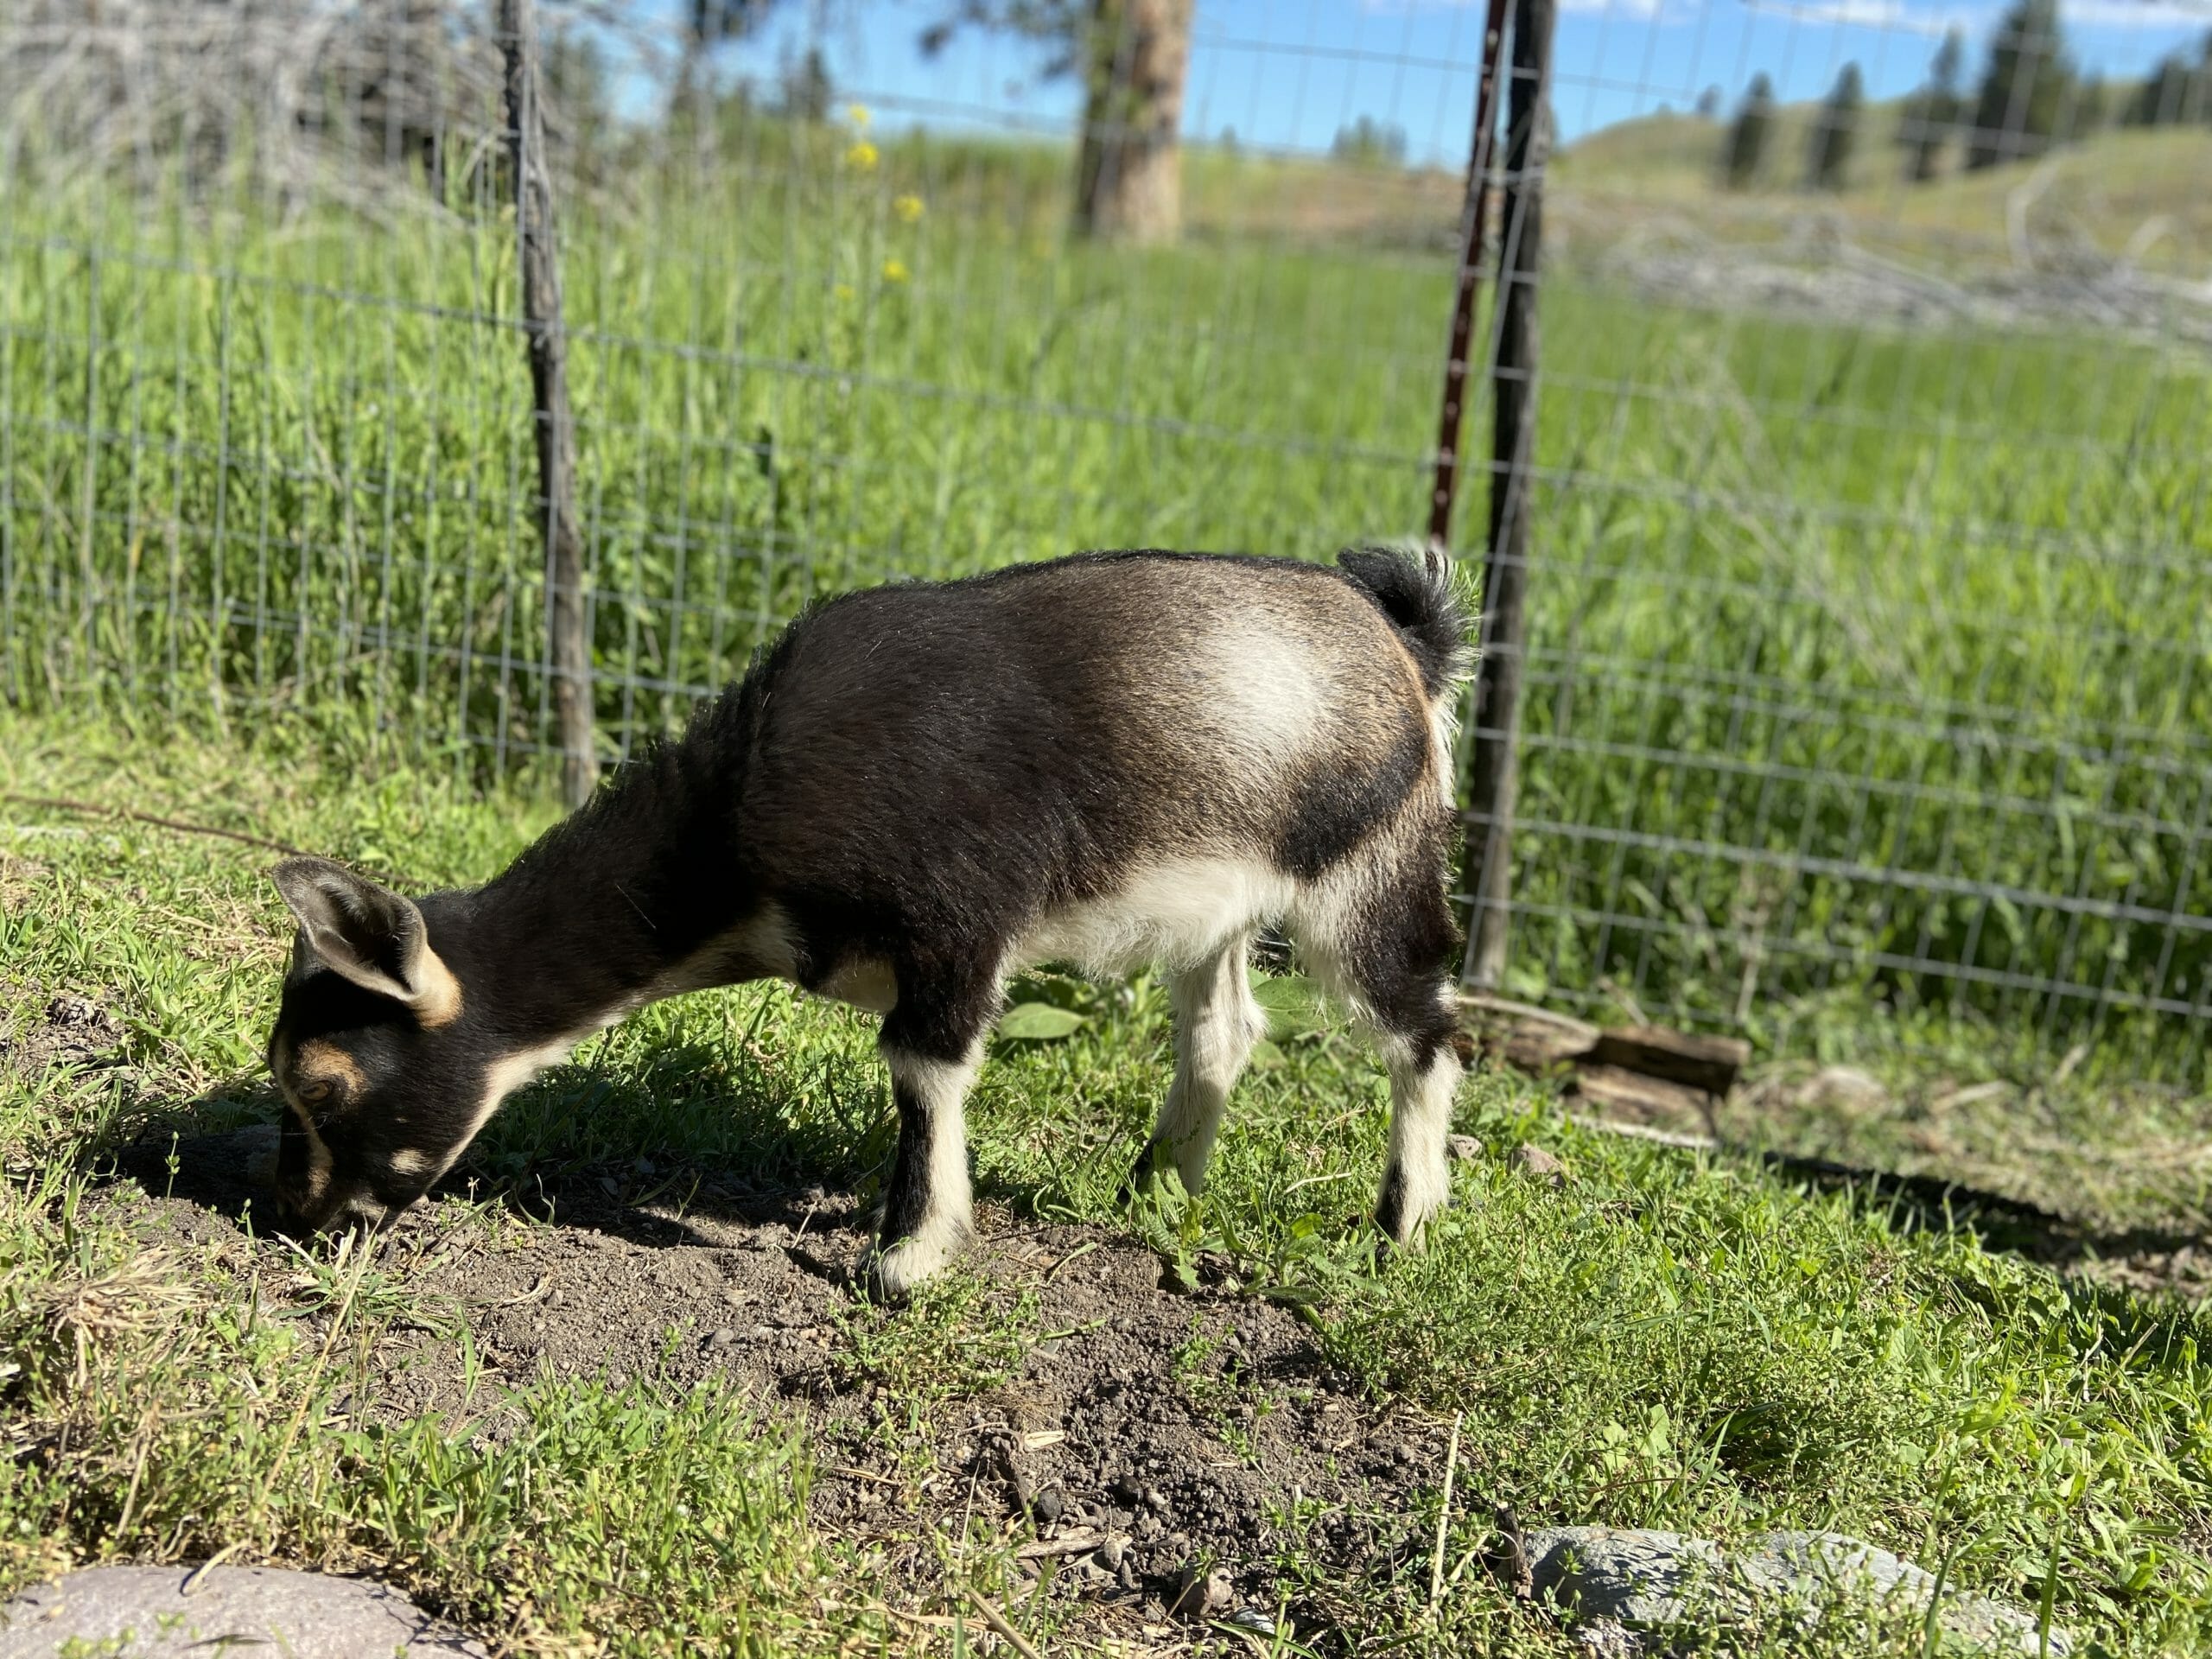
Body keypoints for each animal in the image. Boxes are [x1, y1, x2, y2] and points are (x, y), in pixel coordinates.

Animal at [264, 546, 1474, 1296]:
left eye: (323, 1086)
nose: (300, 1219)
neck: (732, 831)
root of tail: (1407, 641)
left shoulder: (956, 926)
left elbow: (922, 1072)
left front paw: (905, 1261)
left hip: (1369, 868)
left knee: (1422, 1027)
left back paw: (1402, 1225)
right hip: (1219, 903)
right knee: (1224, 1030)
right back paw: (1154, 1186)